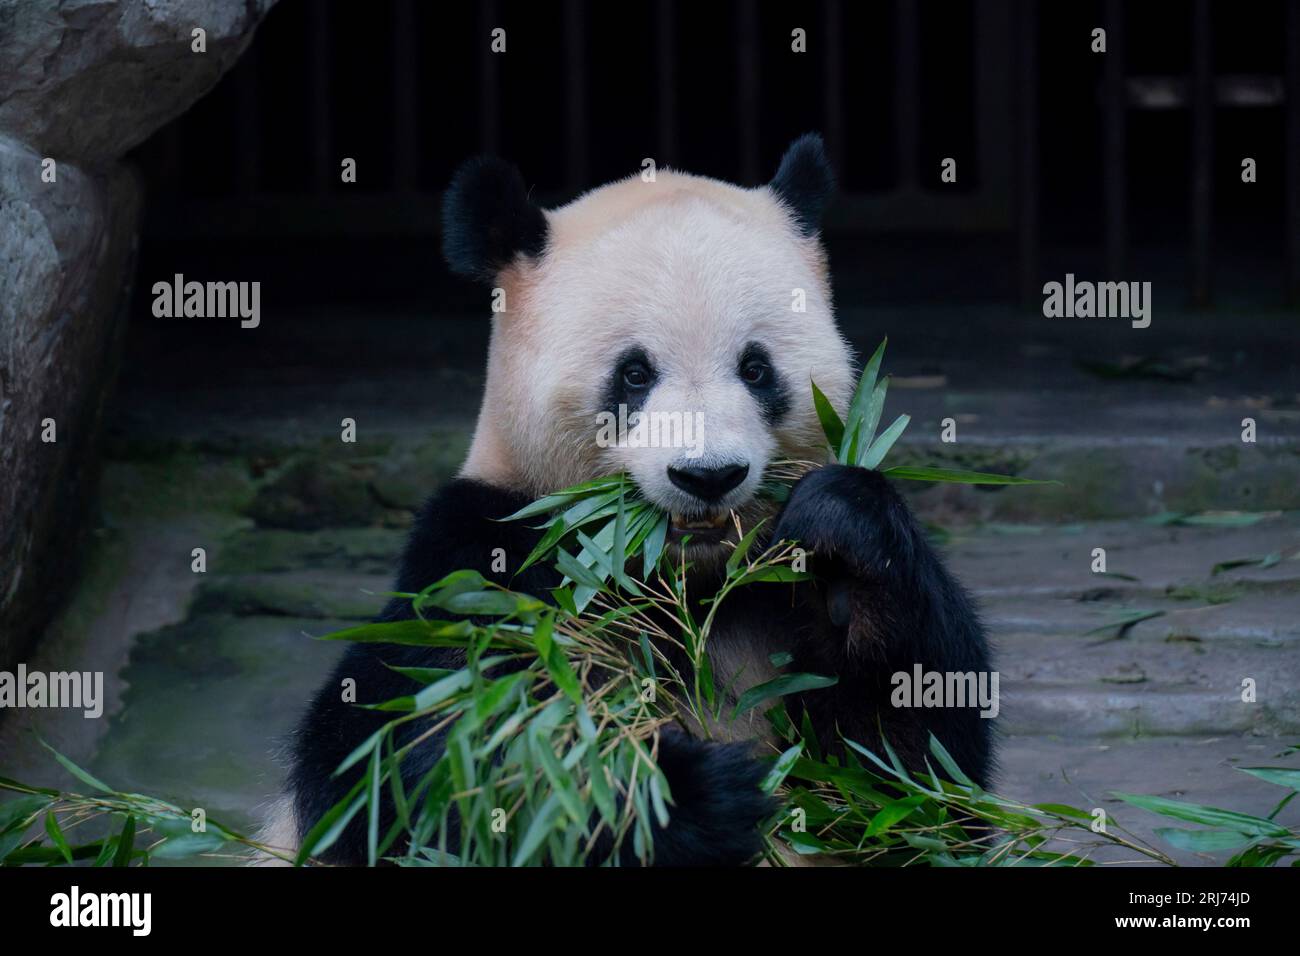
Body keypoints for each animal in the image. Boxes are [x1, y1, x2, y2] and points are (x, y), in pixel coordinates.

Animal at [263, 134, 994, 866]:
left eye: (756, 369)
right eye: (635, 373)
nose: (708, 476)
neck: (684, 580)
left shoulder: (778, 601)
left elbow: (917, 779)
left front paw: (844, 537)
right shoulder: (484, 556)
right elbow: (410, 756)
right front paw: (680, 791)